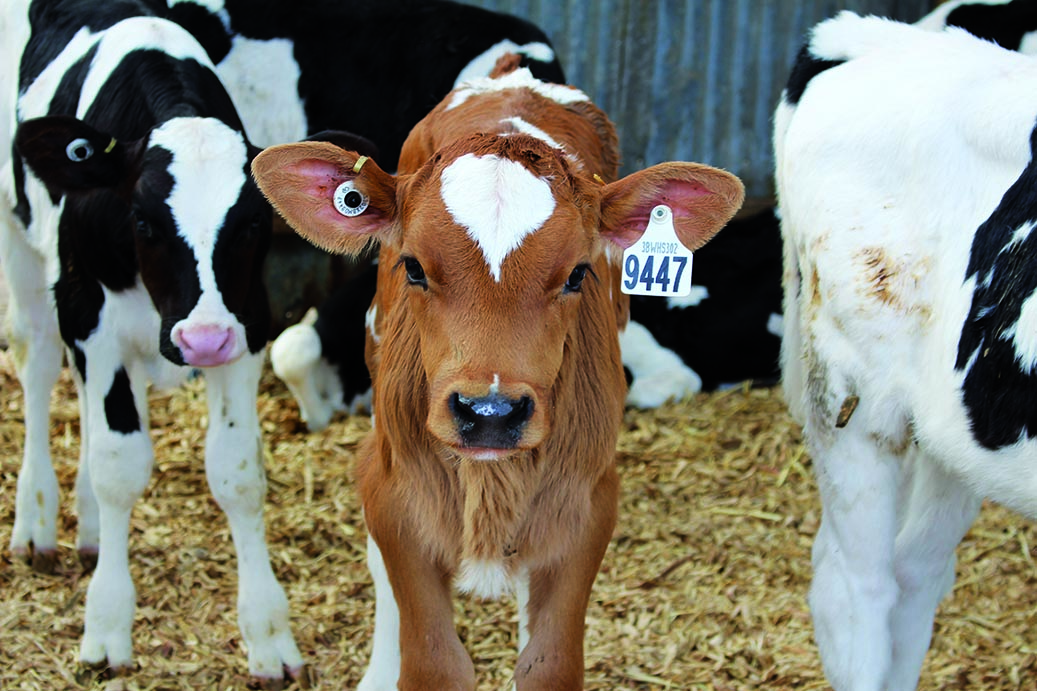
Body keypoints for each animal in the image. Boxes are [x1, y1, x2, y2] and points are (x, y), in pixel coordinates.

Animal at [2, 0, 303, 685]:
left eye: (252, 224)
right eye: (144, 221)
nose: (202, 339)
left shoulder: (247, 322)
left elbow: (238, 473)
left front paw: (269, 636)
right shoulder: (91, 316)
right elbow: (121, 468)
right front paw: (108, 629)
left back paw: (85, 526)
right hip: (19, 242)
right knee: (37, 362)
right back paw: (36, 520)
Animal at [251, 62, 744, 689]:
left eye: (578, 274)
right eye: (413, 266)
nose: (489, 412)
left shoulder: (587, 507)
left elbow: (548, 663)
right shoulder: (394, 496)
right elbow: (431, 659)